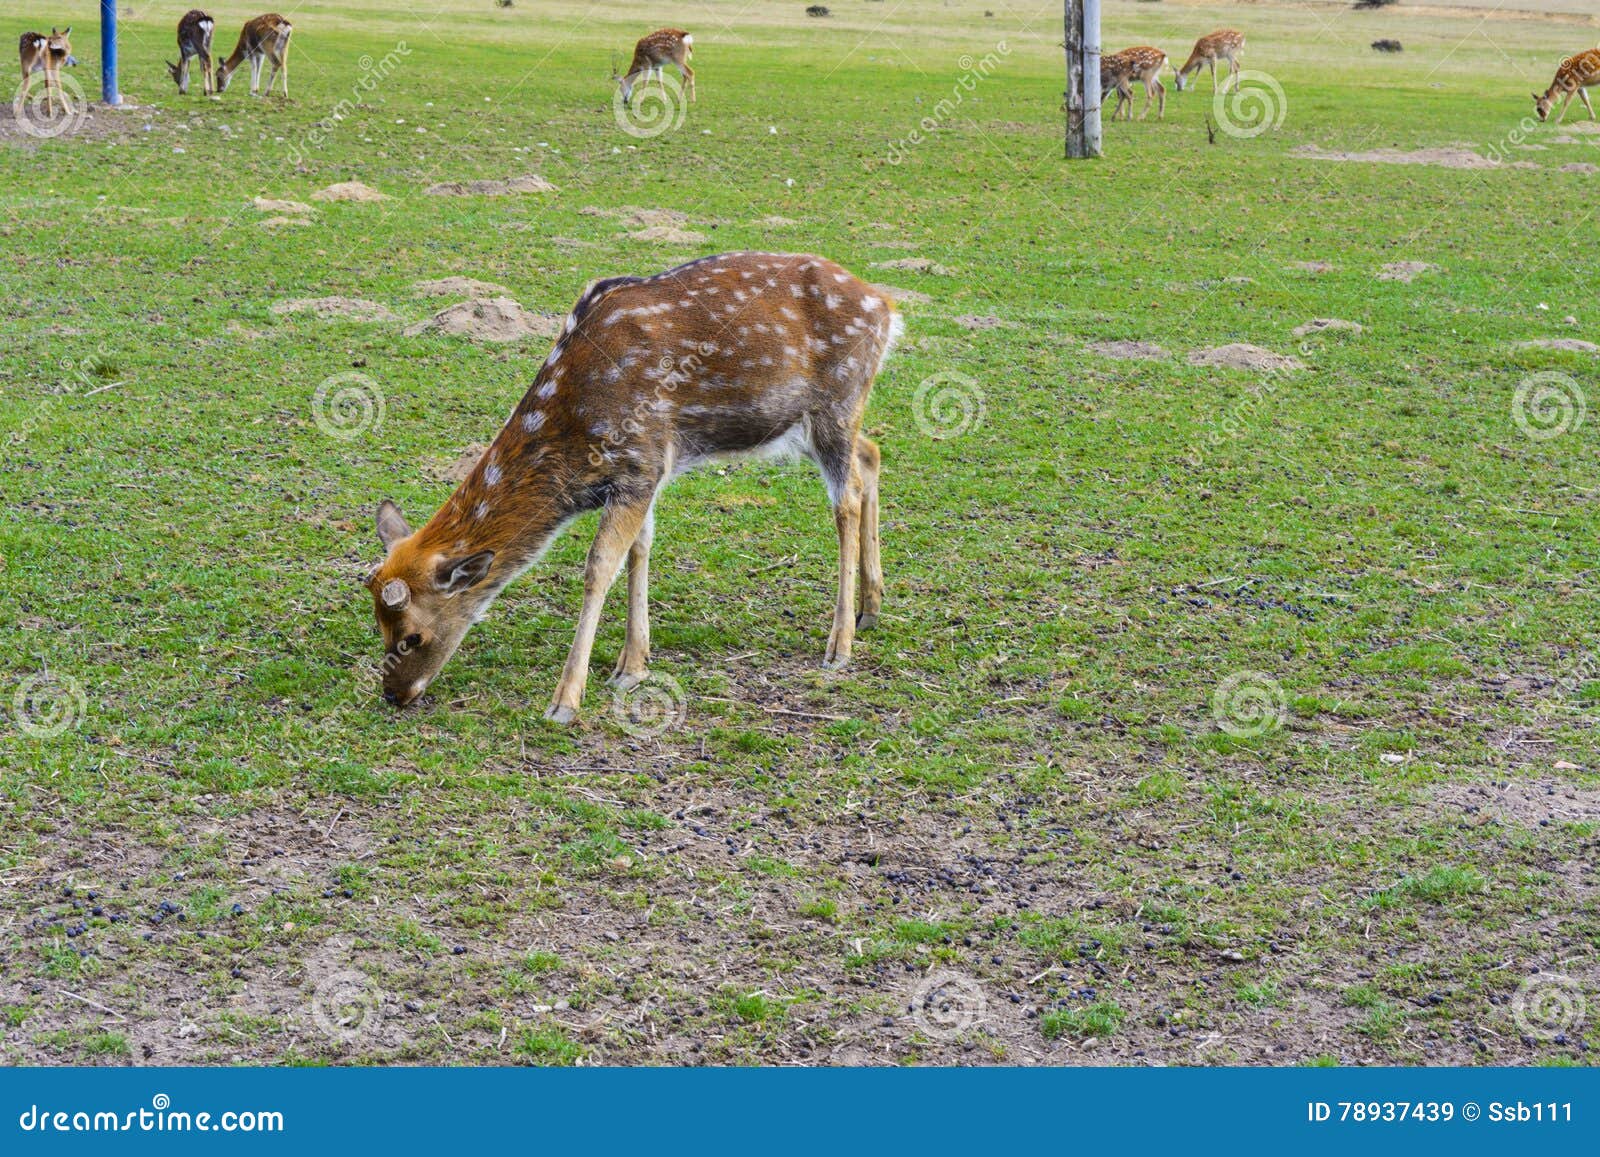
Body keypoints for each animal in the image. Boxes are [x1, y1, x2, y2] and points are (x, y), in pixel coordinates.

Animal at [364, 252, 901, 723]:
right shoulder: (646, 474)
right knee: (870, 455)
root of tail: (886, 306)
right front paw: (632, 665)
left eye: (411, 635)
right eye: (377, 624)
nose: (393, 694)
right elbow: (640, 547)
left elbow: (601, 565)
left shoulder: (640, 461)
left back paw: (839, 645)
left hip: (837, 401)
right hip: (806, 422)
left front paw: (565, 701)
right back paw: (871, 608)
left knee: (845, 499)